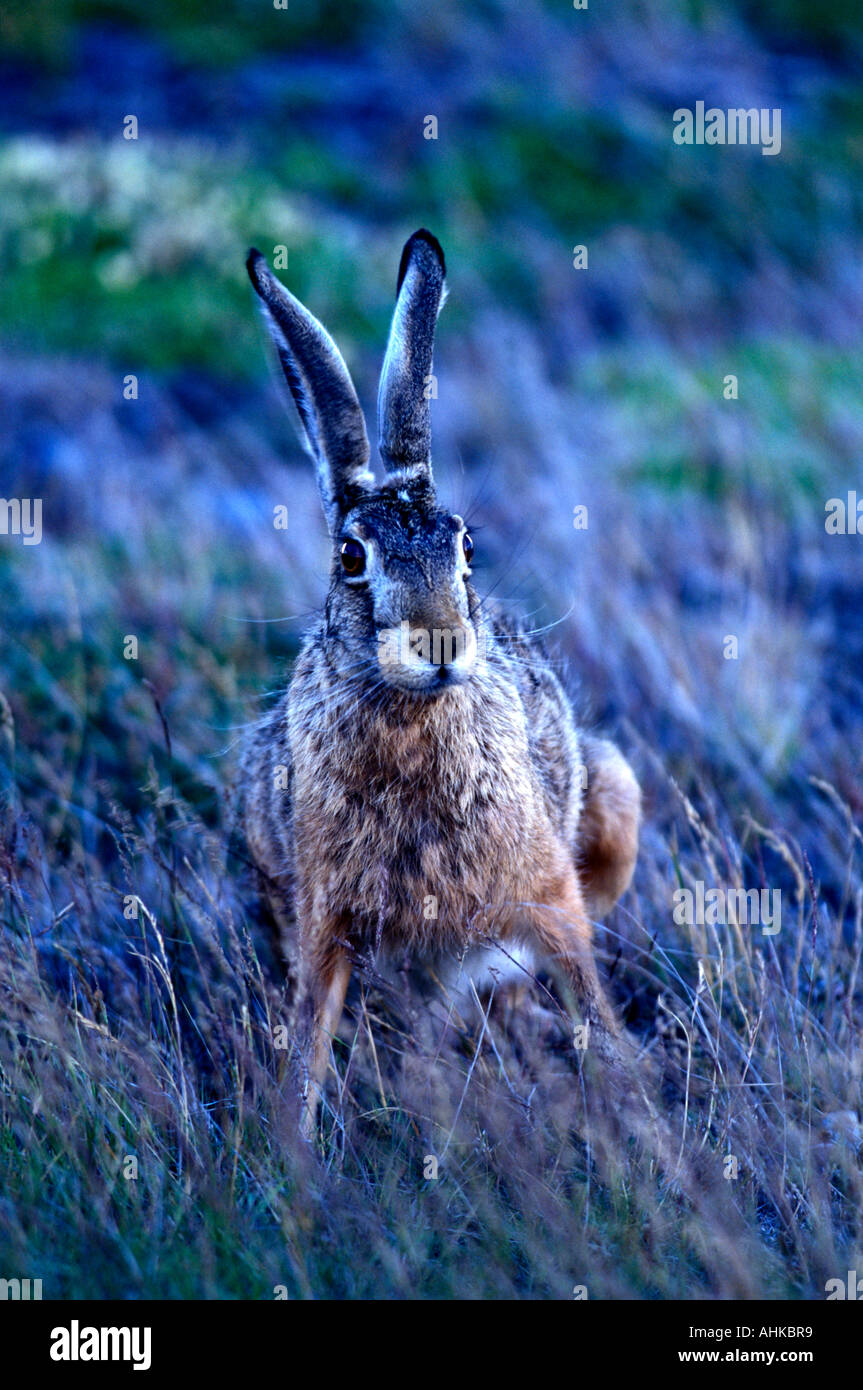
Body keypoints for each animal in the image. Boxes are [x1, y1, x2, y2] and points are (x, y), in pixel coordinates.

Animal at [242, 229, 641, 1134]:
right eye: (350, 557)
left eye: (465, 545)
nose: (441, 643)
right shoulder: (322, 917)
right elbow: (305, 1053)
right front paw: (290, 1161)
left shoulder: (548, 893)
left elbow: (595, 1010)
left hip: (615, 798)